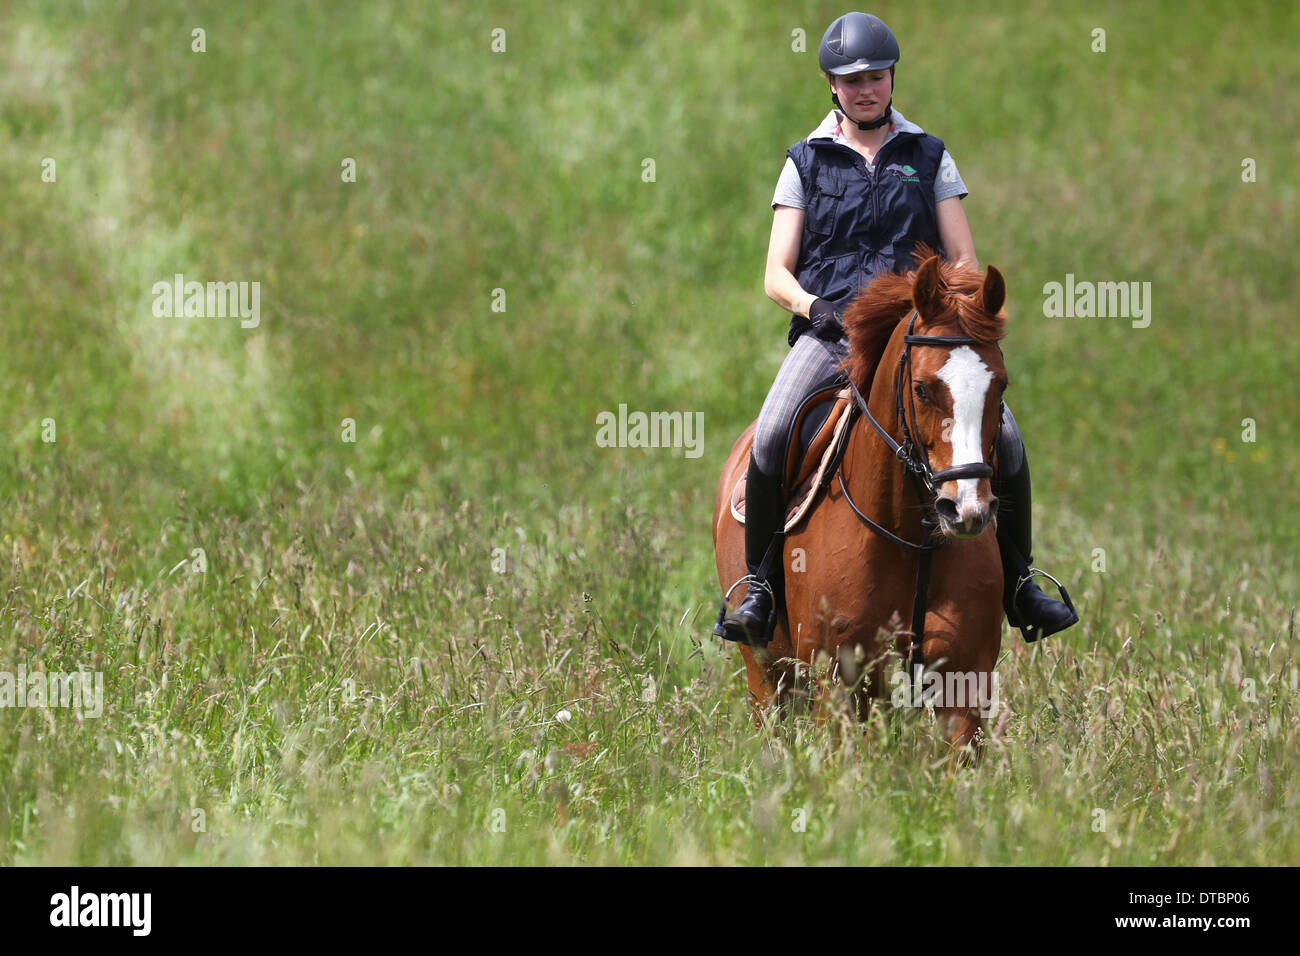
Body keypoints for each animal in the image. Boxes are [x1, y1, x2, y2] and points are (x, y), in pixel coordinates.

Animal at [712, 252, 1009, 754]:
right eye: (922, 388)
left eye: (1000, 387)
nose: (966, 510)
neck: (912, 542)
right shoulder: (838, 680)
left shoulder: (964, 681)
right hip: (765, 671)